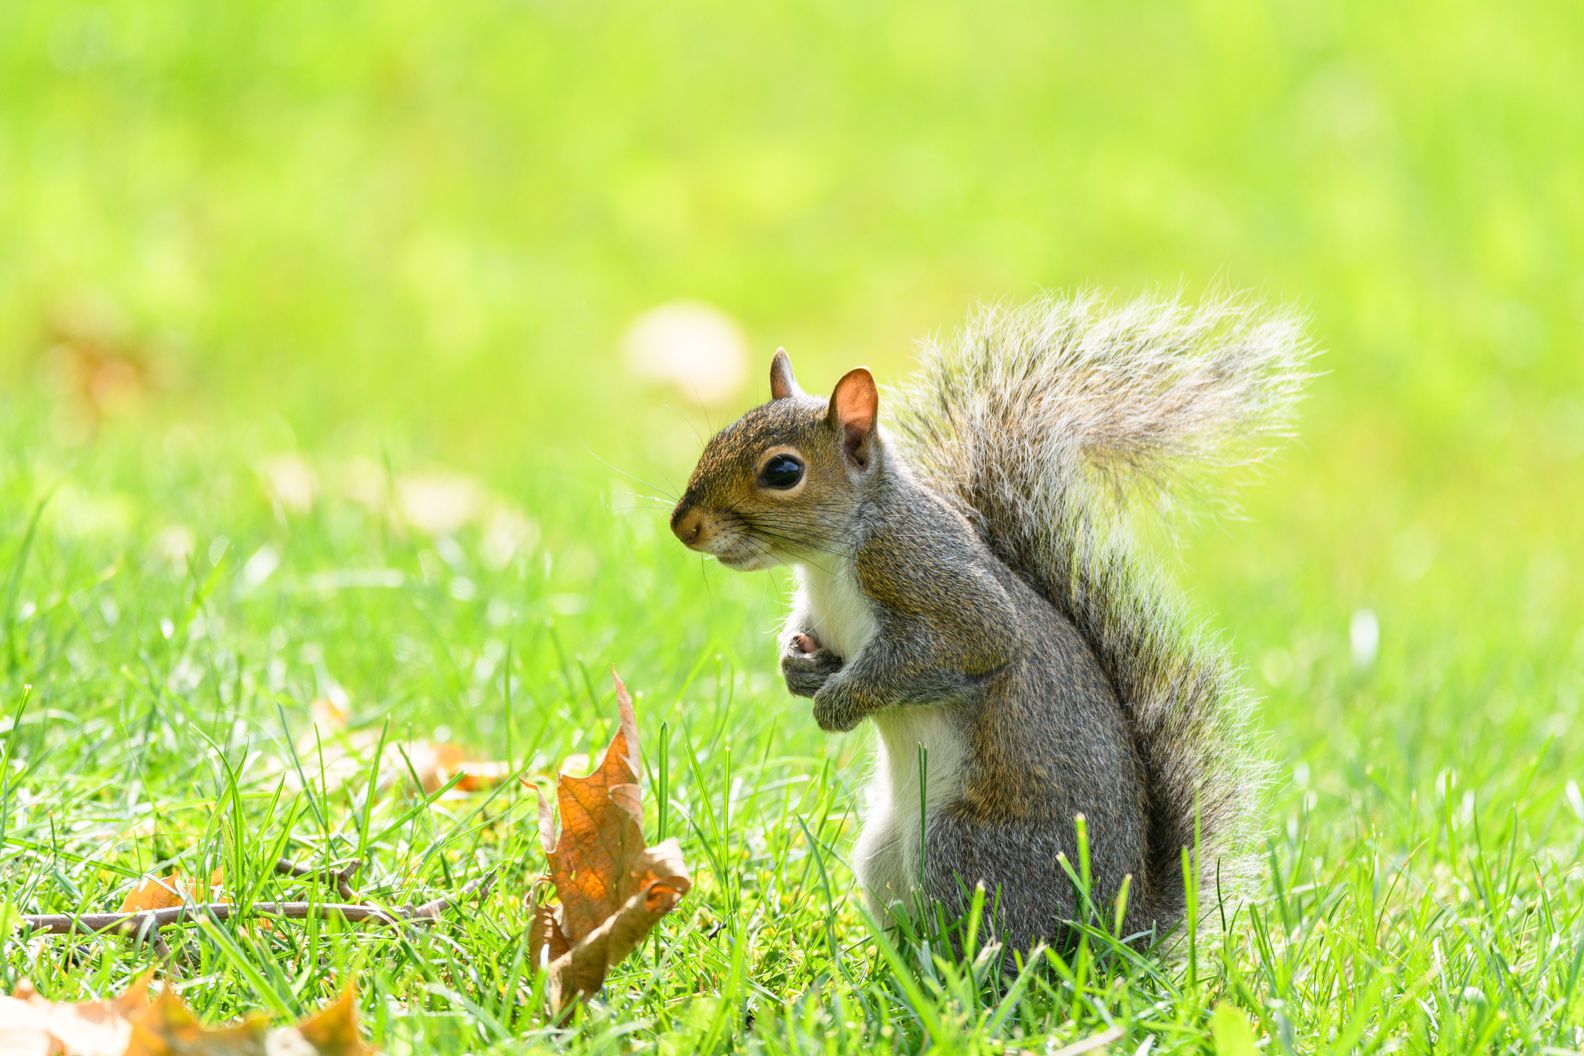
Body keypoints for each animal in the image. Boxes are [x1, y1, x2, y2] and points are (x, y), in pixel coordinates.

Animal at [669, 292, 1311, 952]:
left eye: (782, 472)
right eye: (718, 435)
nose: (683, 525)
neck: (828, 560)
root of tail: (1113, 931)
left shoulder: (935, 581)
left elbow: (957, 650)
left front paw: (841, 702)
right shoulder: (820, 609)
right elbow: (806, 637)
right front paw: (797, 668)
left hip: (964, 849)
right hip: (886, 852)